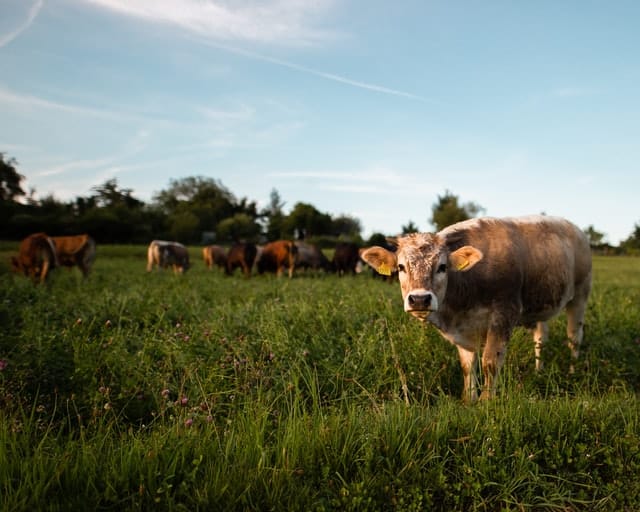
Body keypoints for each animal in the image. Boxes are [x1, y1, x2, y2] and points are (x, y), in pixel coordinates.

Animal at [361, 216, 592, 402]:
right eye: (401, 267)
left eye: (442, 267)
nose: (419, 299)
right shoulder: (463, 329)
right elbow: (467, 365)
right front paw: (469, 399)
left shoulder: (504, 313)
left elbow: (490, 361)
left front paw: (486, 402)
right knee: (541, 338)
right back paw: (539, 371)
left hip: (580, 296)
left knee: (574, 337)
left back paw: (573, 371)